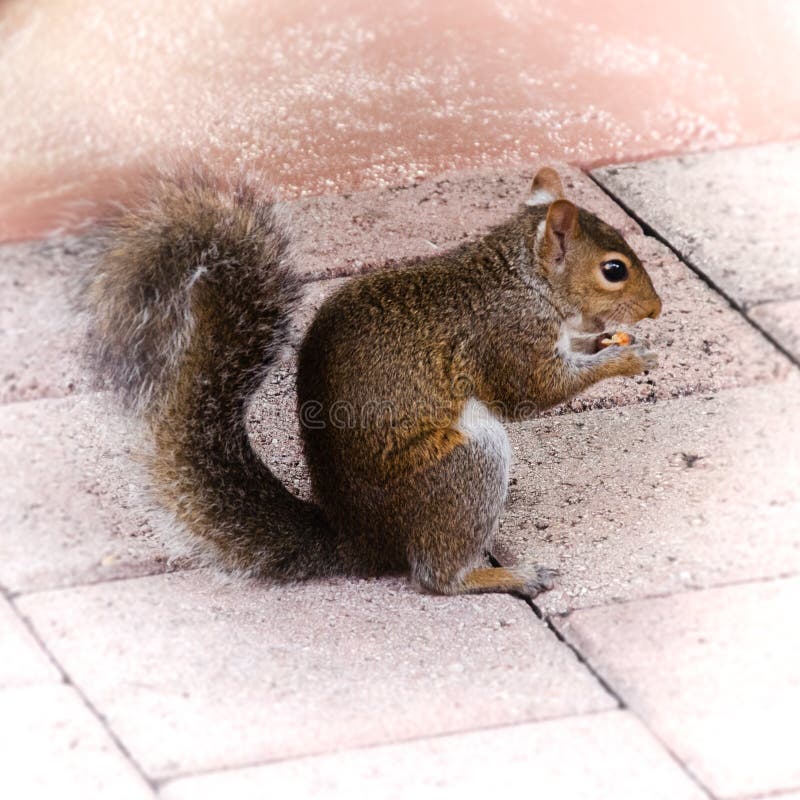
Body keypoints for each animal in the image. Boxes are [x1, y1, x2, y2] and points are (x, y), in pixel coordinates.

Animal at [80, 165, 661, 598]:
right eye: (613, 270)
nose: (657, 308)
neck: (524, 279)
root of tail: (359, 544)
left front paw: (609, 344)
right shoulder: (506, 338)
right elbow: (533, 392)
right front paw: (628, 360)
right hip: (465, 460)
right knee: (436, 575)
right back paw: (507, 574)